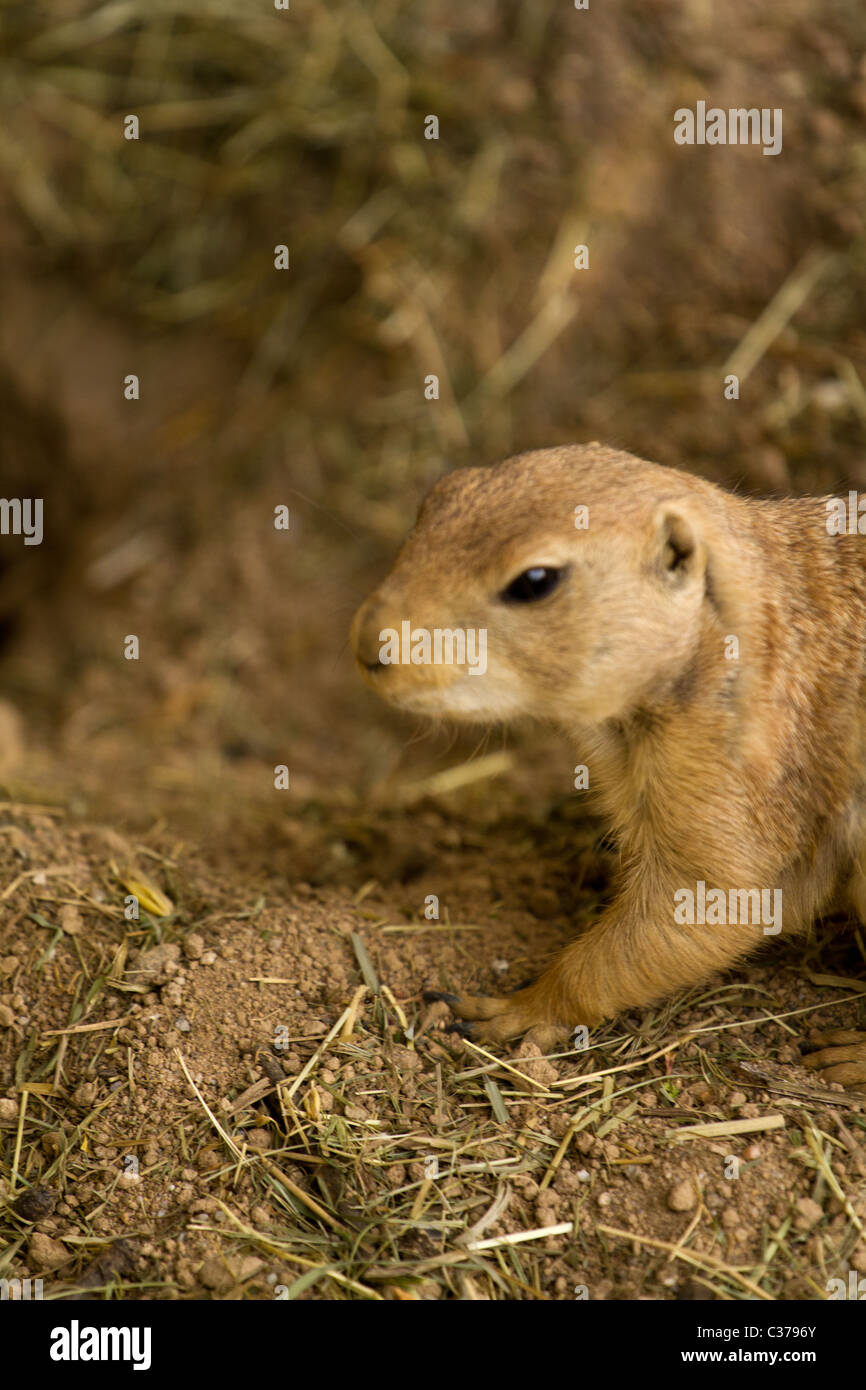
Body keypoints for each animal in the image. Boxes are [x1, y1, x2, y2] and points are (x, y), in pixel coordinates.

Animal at [350, 444, 866, 1087]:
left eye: (536, 581)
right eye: (436, 500)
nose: (366, 643)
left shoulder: (729, 775)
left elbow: (714, 898)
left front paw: (515, 1009)